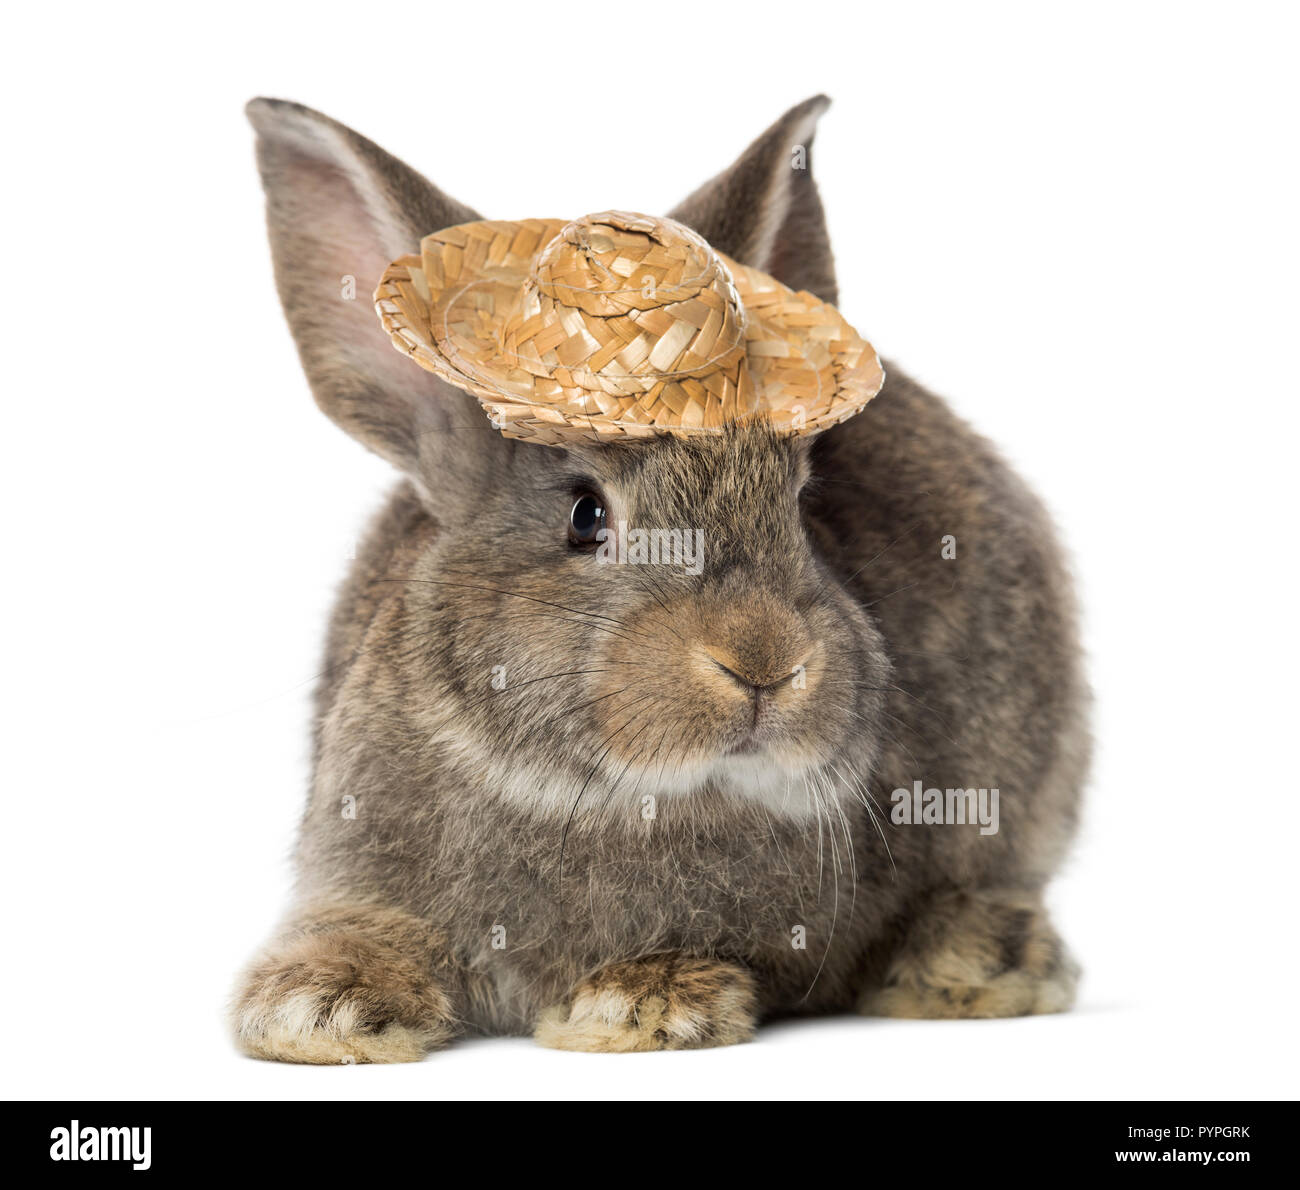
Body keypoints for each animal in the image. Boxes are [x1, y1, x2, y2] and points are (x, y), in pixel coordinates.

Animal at [232, 94, 1088, 1063]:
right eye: (585, 515)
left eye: (799, 503)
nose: (765, 663)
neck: (596, 795)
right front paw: (316, 1007)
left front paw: (640, 1003)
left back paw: (980, 958)